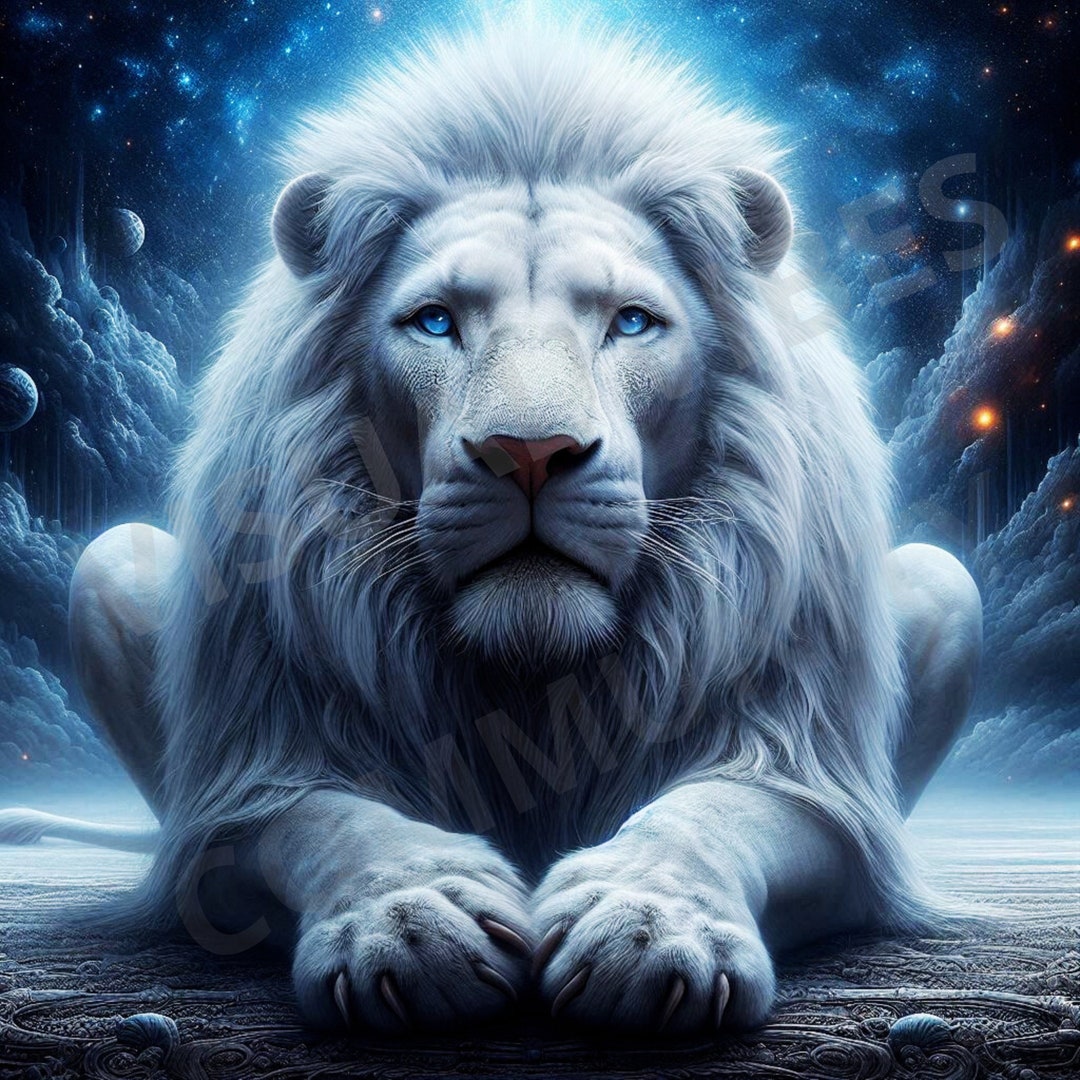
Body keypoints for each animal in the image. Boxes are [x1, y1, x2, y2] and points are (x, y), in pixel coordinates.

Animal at [1, 21, 982, 1035]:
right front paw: (410, 919)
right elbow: (321, 817)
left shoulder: (816, 769)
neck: (532, 676)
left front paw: (648, 926)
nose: (532, 451)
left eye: (632, 323)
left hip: (945, 578)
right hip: (106, 564)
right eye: (436, 323)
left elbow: (715, 811)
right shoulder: (247, 777)